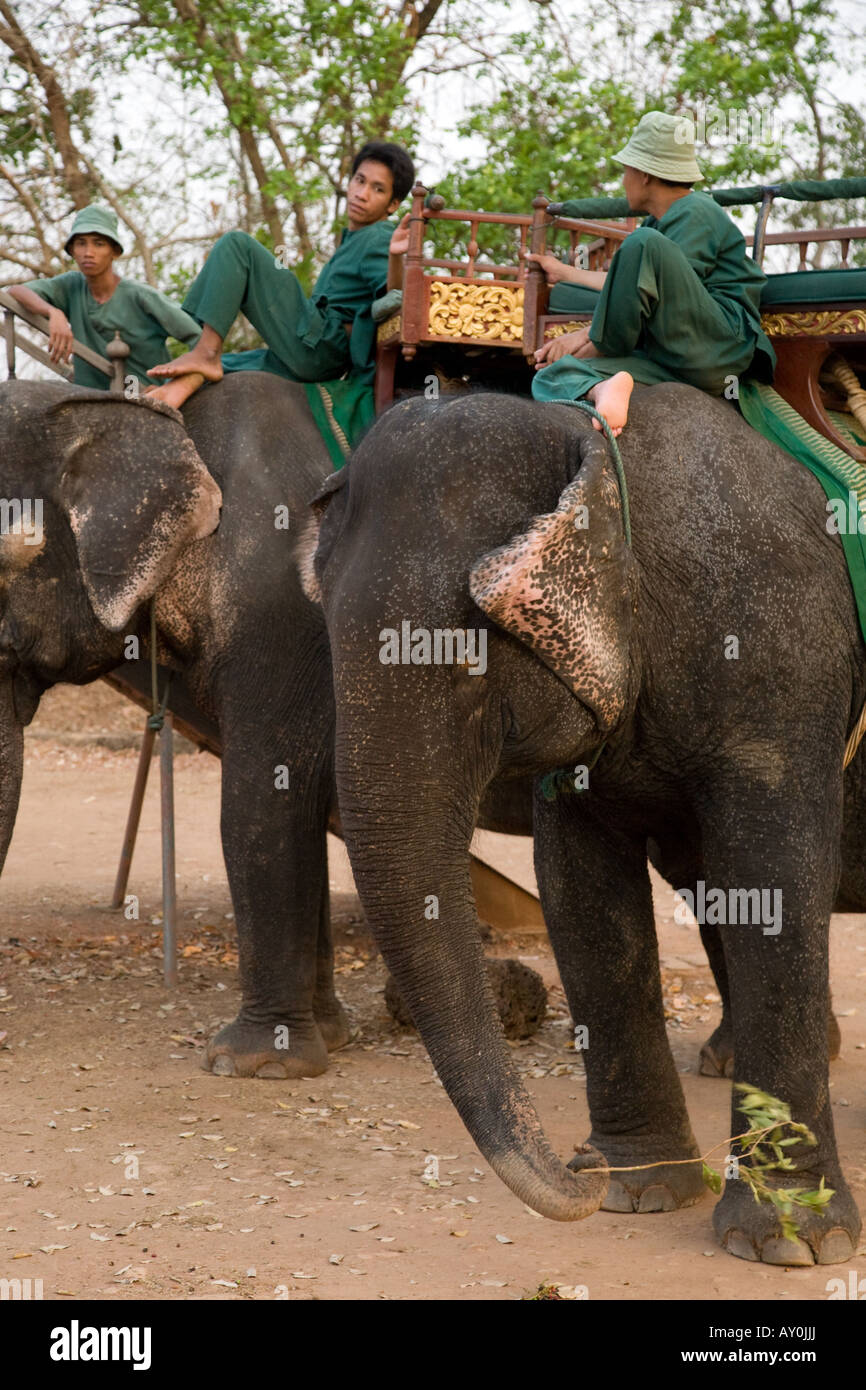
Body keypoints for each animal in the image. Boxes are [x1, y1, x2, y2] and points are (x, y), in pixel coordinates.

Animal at [307, 386, 865, 1265]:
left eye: (469, 669)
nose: (580, 1166)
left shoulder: (784, 671)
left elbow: (774, 880)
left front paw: (793, 1243)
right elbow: (581, 895)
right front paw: (638, 1192)